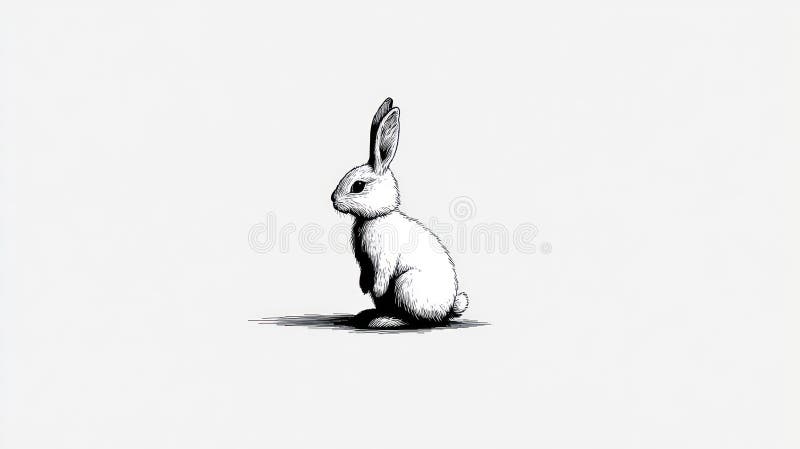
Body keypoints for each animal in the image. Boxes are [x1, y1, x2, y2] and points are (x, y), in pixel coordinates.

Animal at [330, 98, 469, 329]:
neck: (377, 217)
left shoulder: (383, 259)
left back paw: (384, 321)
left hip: (406, 285)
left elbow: (381, 278)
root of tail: (448, 309)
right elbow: (365, 276)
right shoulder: (366, 264)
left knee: (417, 320)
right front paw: (363, 287)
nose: (333, 200)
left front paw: (374, 290)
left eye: (358, 186)